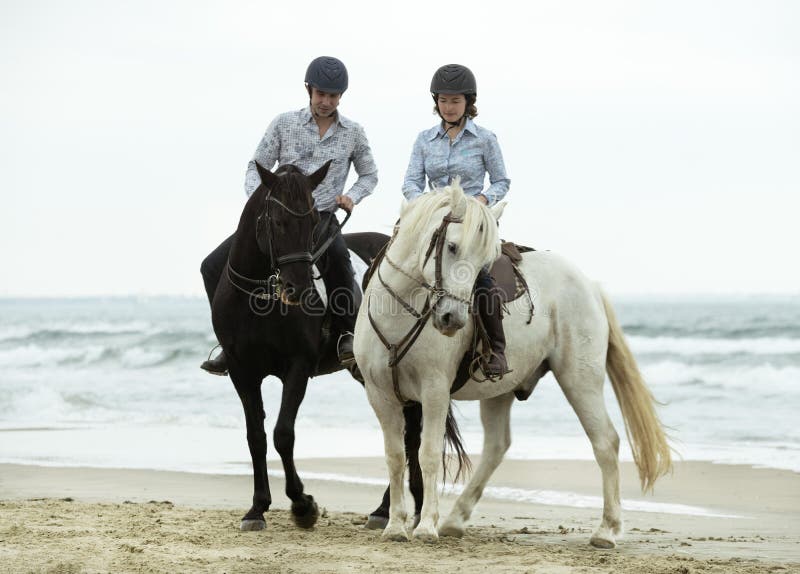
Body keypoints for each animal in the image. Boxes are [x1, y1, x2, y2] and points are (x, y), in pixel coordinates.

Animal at [211, 160, 437, 530]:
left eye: (313, 221)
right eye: (276, 221)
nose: (299, 288)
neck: (262, 298)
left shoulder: (298, 366)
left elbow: (283, 433)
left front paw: (303, 506)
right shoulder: (242, 371)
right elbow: (256, 437)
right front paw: (257, 509)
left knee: (408, 433)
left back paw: (390, 509)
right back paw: (390, 509)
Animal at [353, 182, 673, 548]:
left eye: (485, 261)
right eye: (451, 246)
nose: (453, 319)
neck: (400, 311)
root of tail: (589, 285)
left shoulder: (433, 392)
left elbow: (428, 453)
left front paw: (425, 527)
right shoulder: (380, 395)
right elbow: (395, 457)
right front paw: (395, 526)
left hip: (580, 380)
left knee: (606, 441)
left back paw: (606, 529)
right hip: (499, 391)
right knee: (497, 446)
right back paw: (455, 520)